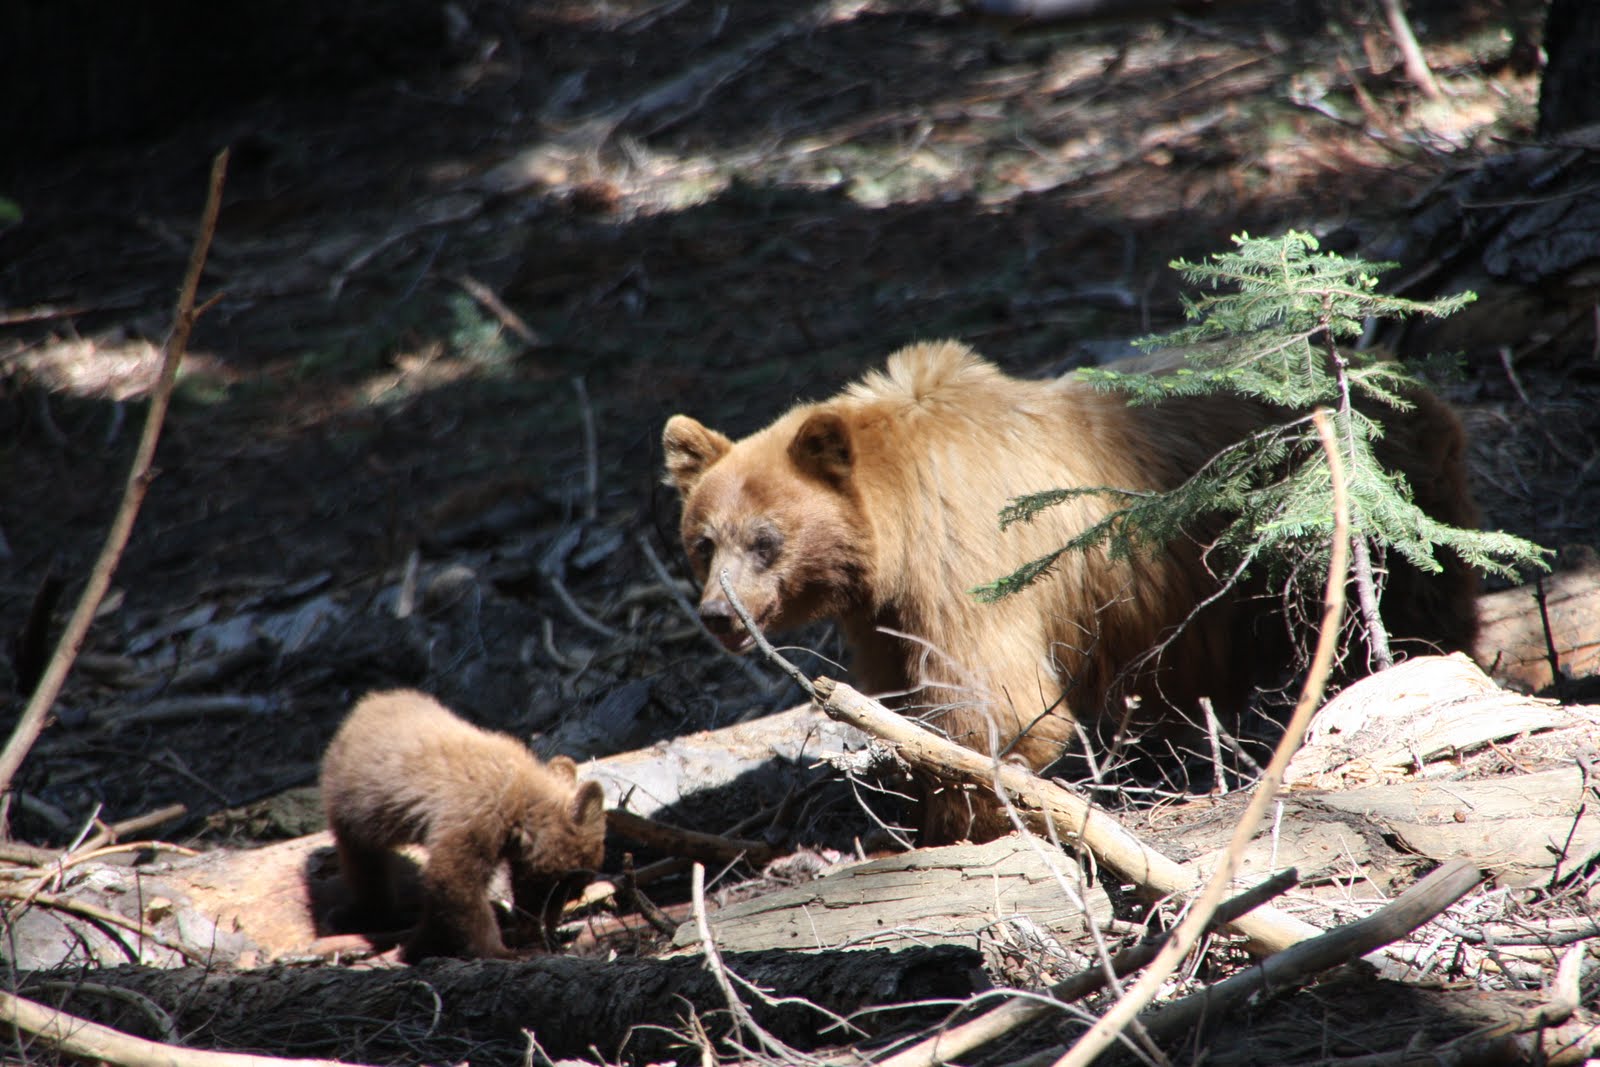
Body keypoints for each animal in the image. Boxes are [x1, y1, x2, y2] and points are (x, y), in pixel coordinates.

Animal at [320, 689, 607, 961]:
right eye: (568, 884)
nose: (549, 930)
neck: (520, 800)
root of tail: (365, 704)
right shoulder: (475, 816)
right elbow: (455, 880)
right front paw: (499, 950)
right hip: (355, 804)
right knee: (363, 860)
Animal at [662, 340, 1479, 841]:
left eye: (765, 539)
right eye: (703, 541)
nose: (718, 614)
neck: (892, 526)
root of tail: (1401, 373)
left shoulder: (965, 563)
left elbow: (992, 704)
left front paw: (965, 823)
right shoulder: (887, 611)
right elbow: (906, 700)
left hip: (1370, 514)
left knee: (1417, 601)